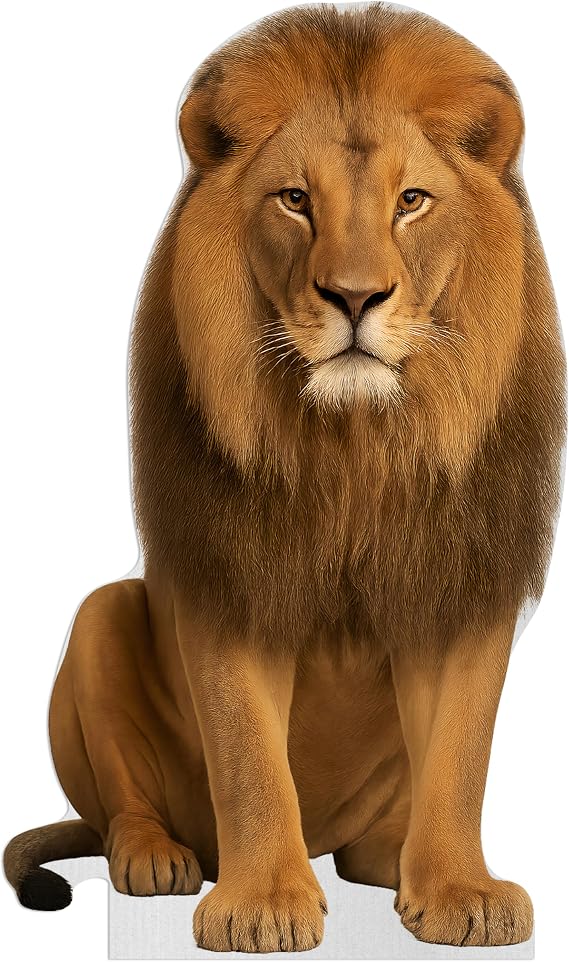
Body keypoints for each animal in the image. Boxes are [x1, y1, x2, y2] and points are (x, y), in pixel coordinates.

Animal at [4, 2, 566, 953]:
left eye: (410, 201)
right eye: (295, 200)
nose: (355, 297)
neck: (354, 446)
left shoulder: (460, 576)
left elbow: (460, 751)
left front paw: (460, 891)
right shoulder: (229, 573)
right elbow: (247, 755)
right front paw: (262, 904)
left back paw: (388, 860)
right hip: (102, 616)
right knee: (122, 805)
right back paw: (154, 857)